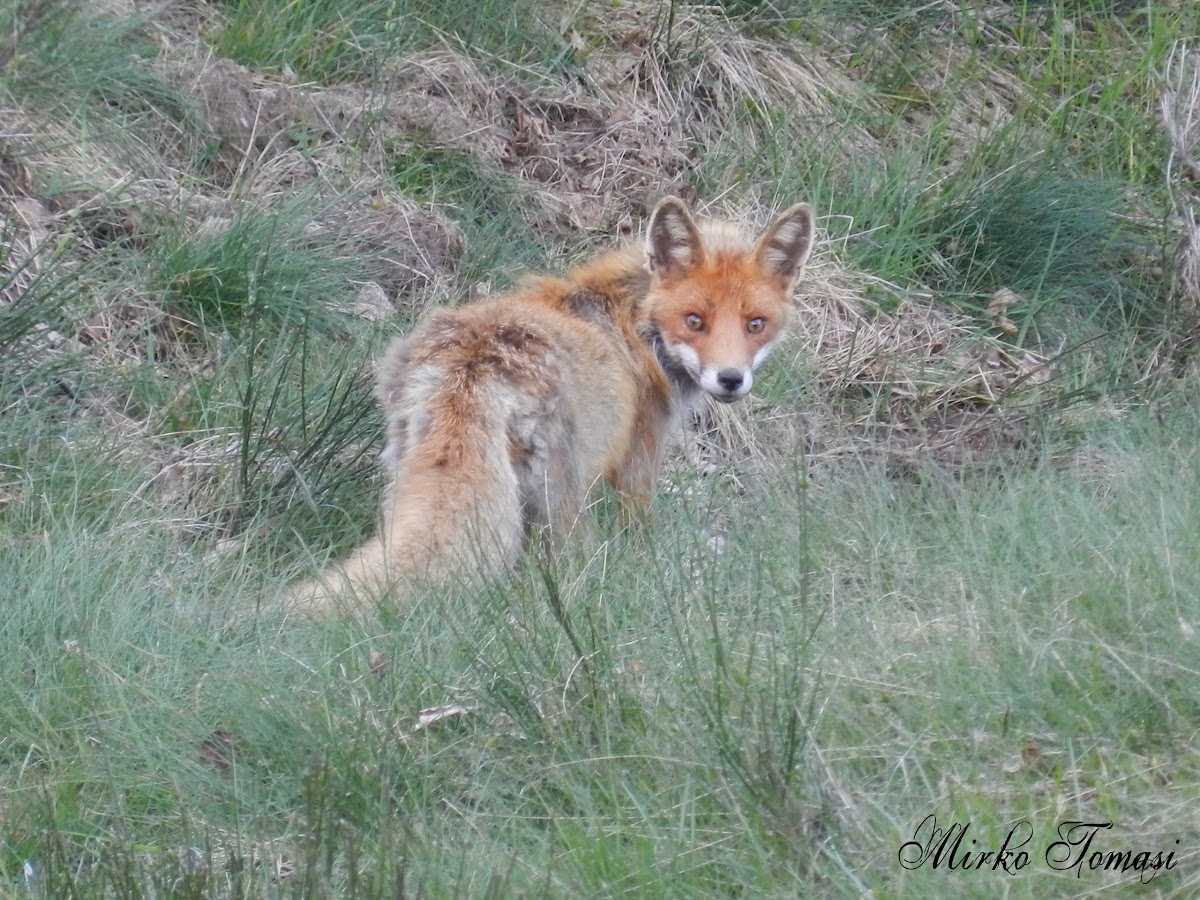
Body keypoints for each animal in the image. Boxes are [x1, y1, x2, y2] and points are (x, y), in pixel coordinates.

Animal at [279, 197, 814, 617]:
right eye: (694, 321)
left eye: (756, 324)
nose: (731, 379)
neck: (635, 322)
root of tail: (474, 363)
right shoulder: (638, 459)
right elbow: (641, 534)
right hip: (563, 500)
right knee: (567, 570)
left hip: (407, 477)